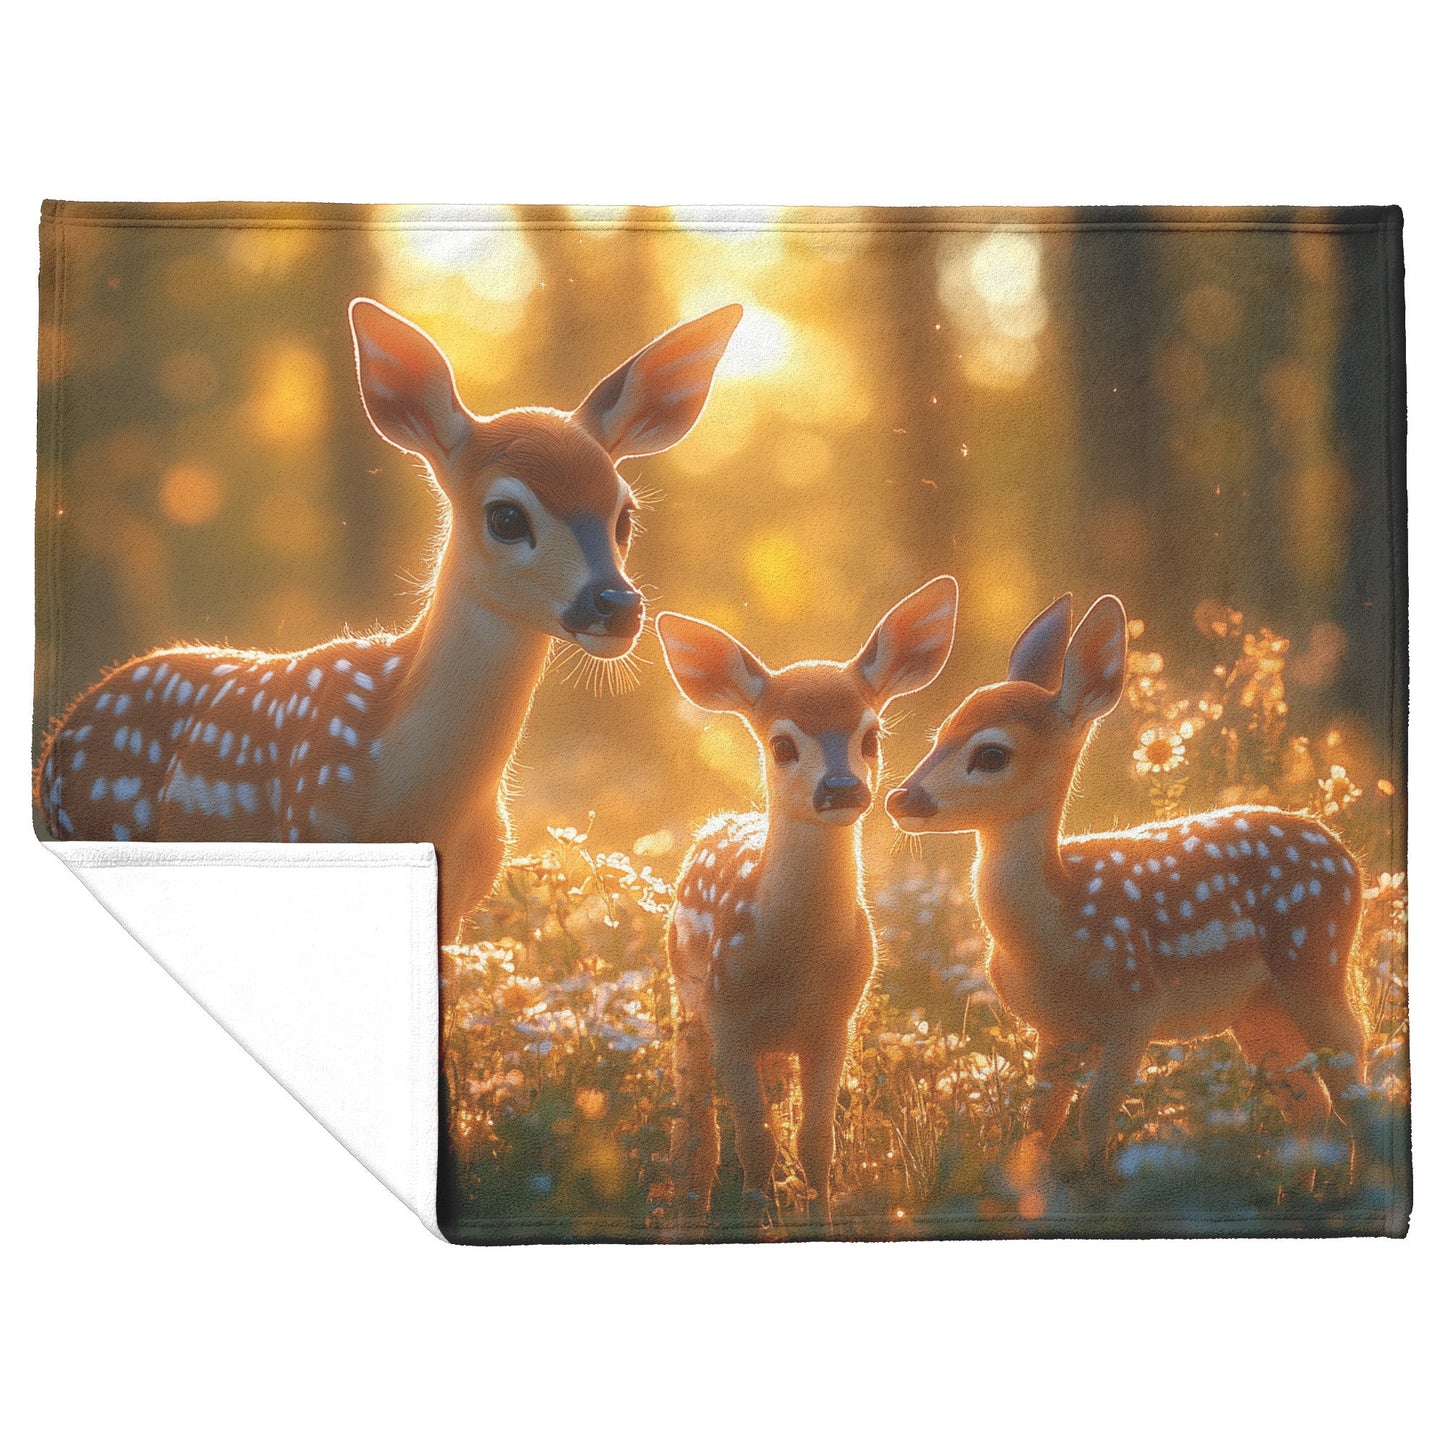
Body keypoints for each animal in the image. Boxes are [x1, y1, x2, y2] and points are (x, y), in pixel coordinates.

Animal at [35, 296, 743, 941]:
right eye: (506, 516)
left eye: (624, 515)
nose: (617, 605)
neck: (407, 796)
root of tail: (56, 743)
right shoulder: (311, 827)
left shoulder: (463, 896)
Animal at [656, 576, 959, 1232]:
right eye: (782, 744)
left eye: (871, 736)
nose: (842, 788)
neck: (795, 958)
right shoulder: (726, 1014)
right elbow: (754, 1142)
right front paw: (752, 1223)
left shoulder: (833, 1021)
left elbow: (815, 1142)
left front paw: (817, 1221)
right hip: (685, 1003)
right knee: (694, 1135)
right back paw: (689, 1216)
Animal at [884, 593, 1367, 1174]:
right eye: (941, 732)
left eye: (992, 754)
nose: (901, 799)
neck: (1059, 923)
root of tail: (1347, 857)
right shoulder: (1055, 1029)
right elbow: (1037, 1127)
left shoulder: (1136, 1004)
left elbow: (1095, 1118)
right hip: (1257, 1007)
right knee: (1310, 1103)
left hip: (1314, 965)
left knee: (1357, 1077)